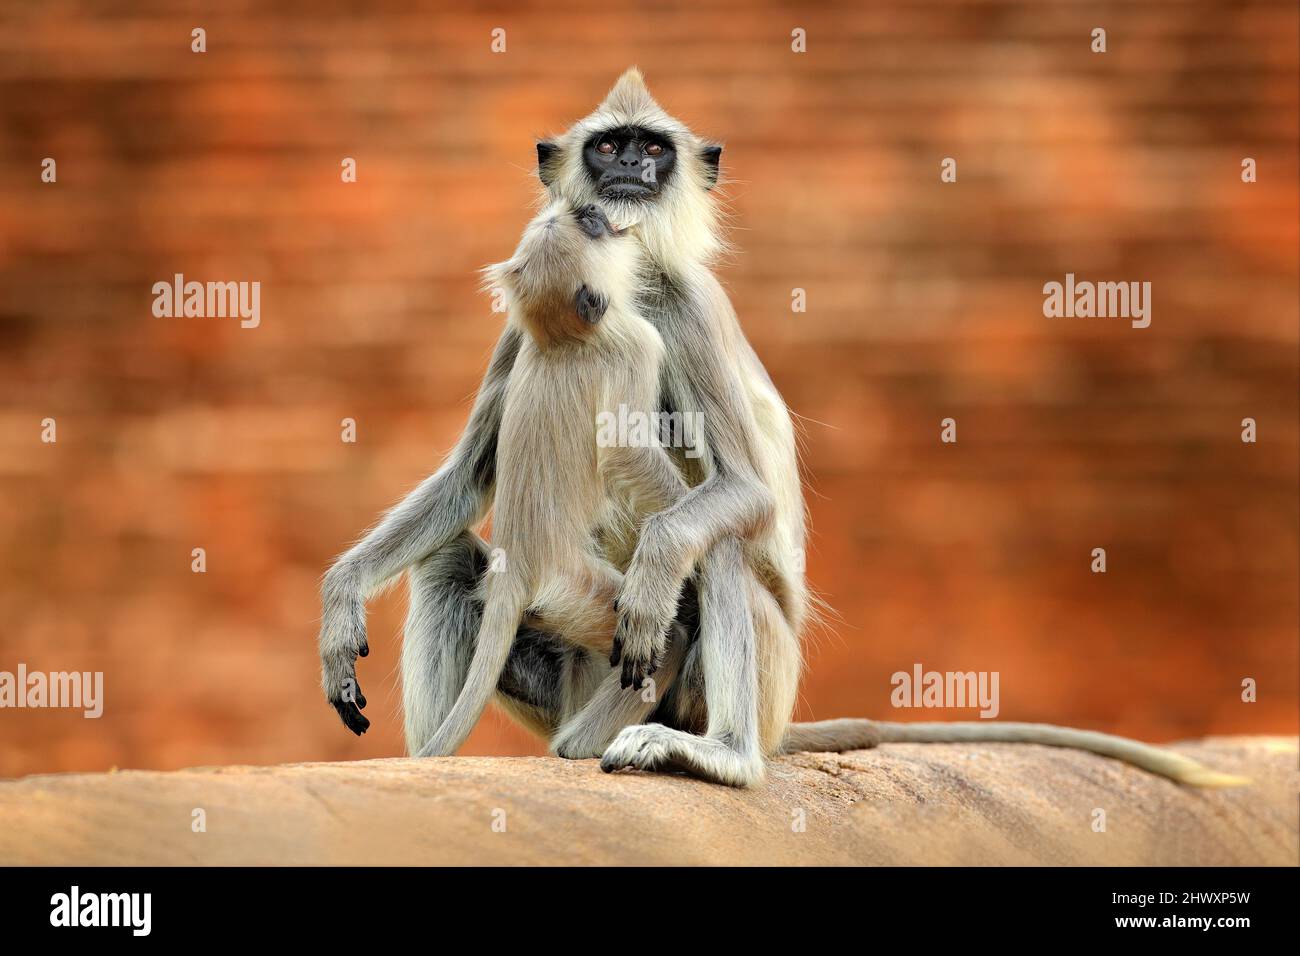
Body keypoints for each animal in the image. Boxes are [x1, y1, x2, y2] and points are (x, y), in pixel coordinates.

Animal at [411, 200, 689, 758]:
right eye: (593, 226)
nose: (592, 209)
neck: (563, 340)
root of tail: (515, 568)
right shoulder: (636, 344)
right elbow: (625, 454)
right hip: (577, 593)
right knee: (668, 635)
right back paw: (581, 745)